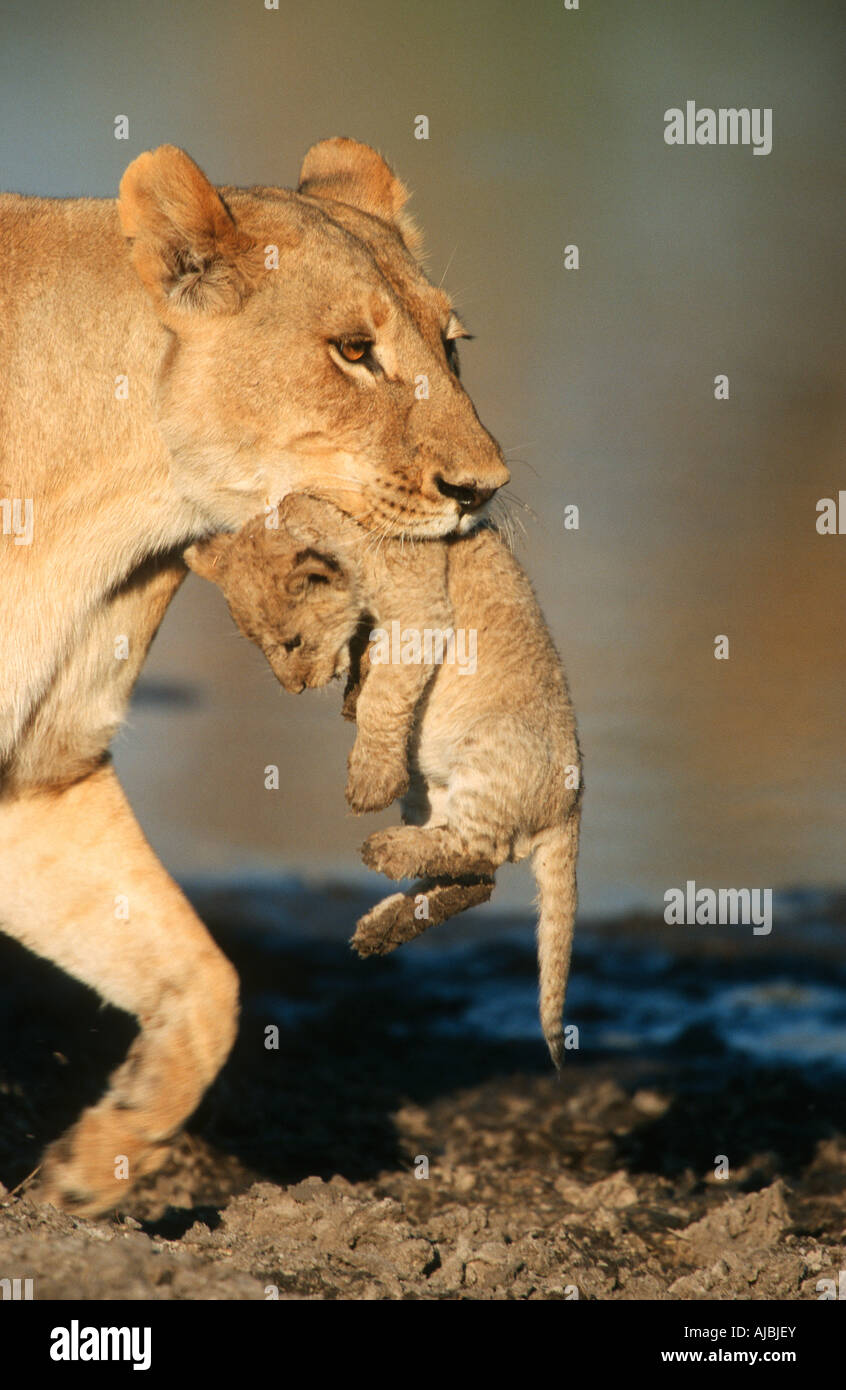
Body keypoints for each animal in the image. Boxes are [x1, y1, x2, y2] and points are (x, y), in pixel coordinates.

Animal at [0, 138, 508, 1215]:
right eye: (352, 351)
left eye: (453, 345)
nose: (483, 488)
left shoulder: (38, 778)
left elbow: (206, 982)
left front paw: (91, 1167)